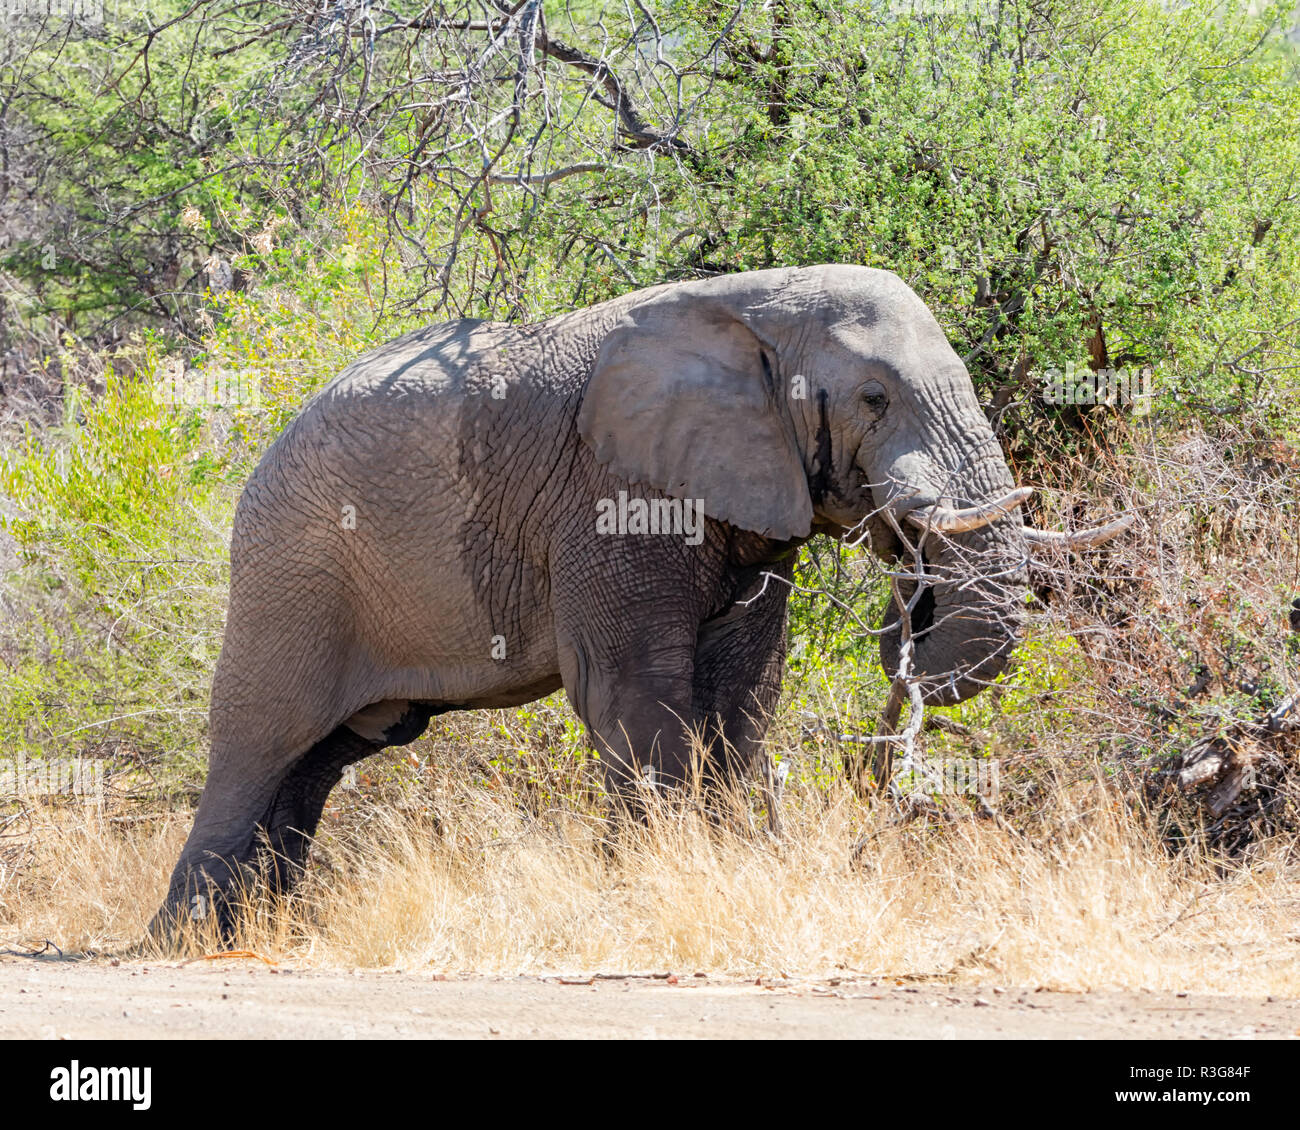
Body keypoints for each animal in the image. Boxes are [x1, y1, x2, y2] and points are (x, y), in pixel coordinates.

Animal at [151, 264, 1124, 938]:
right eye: (875, 398)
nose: (911, 595)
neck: (758, 306)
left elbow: (743, 688)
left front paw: (727, 875)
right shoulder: (609, 493)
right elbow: (631, 686)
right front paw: (655, 888)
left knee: (322, 758)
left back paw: (260, 929)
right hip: (291, 569)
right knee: (262, 738)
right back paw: (187, 941)